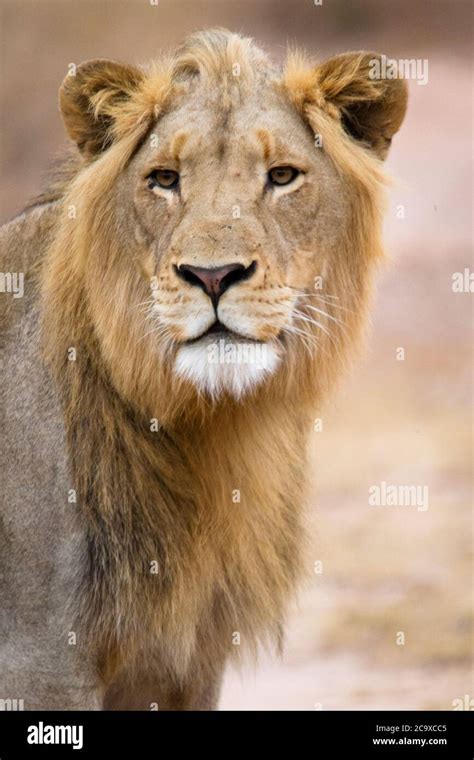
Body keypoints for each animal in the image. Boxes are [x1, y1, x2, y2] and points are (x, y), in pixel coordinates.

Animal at [0, 29, 407, 710]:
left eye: (282, 176)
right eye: (164, 179)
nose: (213, 276)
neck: (206, 429)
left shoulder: (188, 664)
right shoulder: (41, 662)